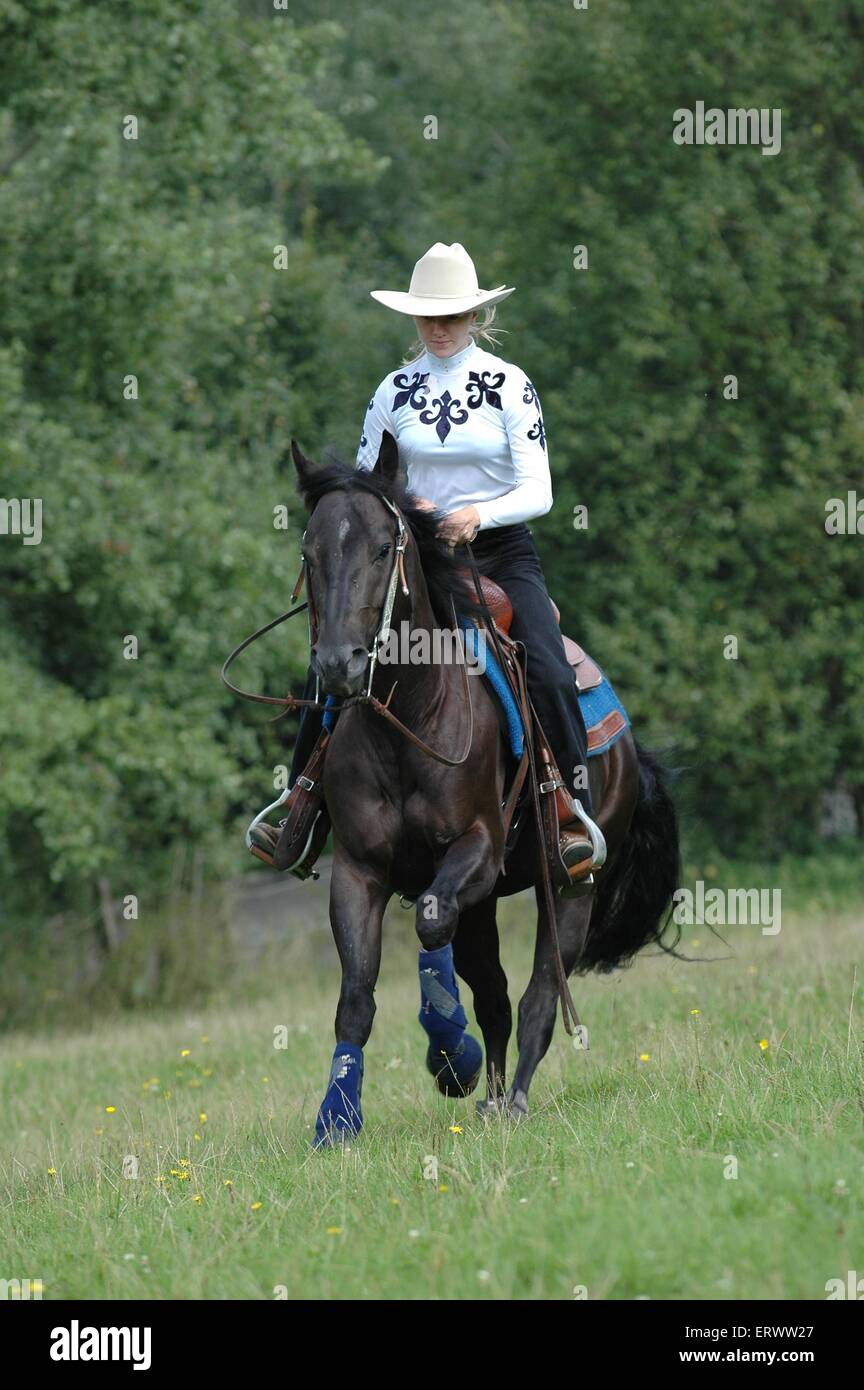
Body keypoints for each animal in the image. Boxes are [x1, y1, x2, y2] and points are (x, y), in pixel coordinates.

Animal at [288, 432, 680, 1146]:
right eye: (310, 552)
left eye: (382, 548)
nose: (337, 666)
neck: (408, 720)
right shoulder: (359, 869)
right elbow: (357, 996)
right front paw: (337, 1116)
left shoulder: (475, 847)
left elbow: (431, 922)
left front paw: (451, 1053)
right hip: (490, 901)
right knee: (494, 995)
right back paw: (490, 1095)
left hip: (570, 889)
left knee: (538, 994)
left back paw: (512, 1095)